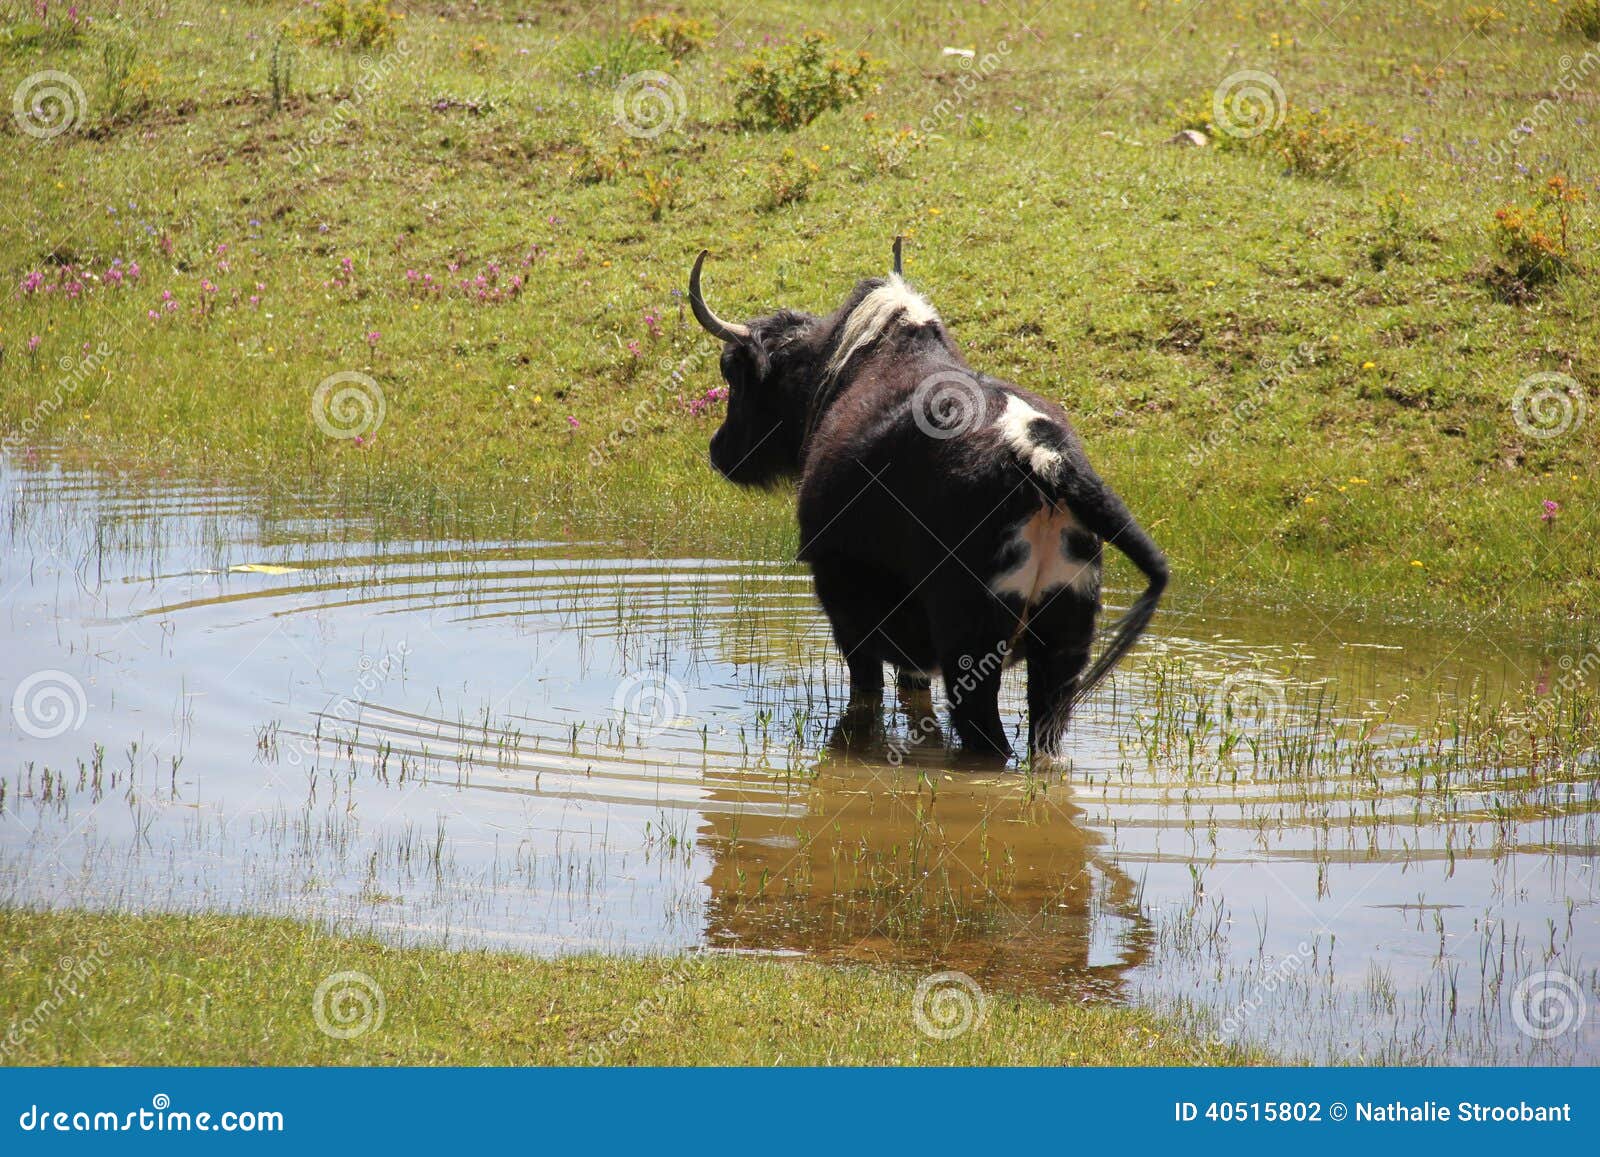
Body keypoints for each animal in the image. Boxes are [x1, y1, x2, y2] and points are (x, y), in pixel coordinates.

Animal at [689, 241, 1167, 759]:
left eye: (733, 373)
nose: (718, 450)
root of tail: (1041, 456)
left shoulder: (850, 614)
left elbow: (868, 696)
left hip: (970, 647)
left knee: (987, 739)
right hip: (1061, 650)